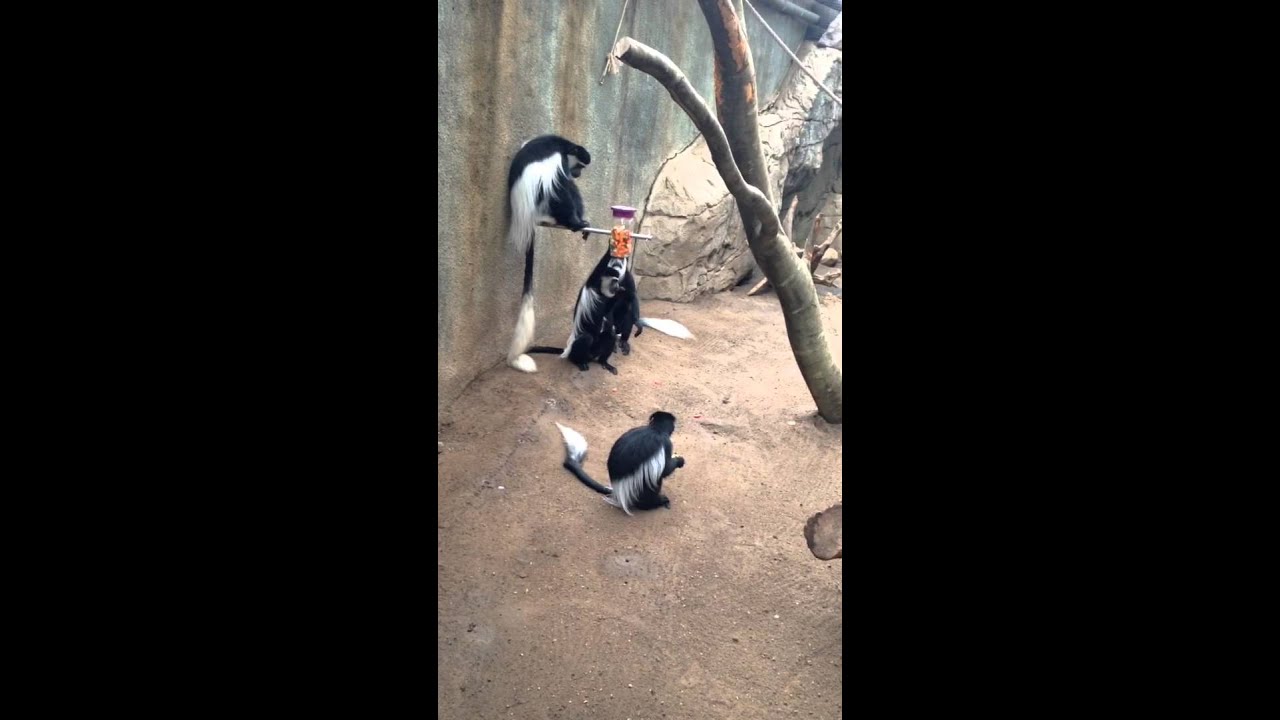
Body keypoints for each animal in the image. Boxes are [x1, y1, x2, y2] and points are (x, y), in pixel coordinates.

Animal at [506, 135, 592, 374]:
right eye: (580, 166)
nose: (578, 173)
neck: (563, 145)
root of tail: (528, 218)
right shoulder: (558, 161)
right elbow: (559, 187)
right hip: (543, 207)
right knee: (561, 187)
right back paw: (575, 222)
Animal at [554, 411, 686, 514]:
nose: (674, 428)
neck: (656, 429)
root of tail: (619, 491)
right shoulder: (666, 443)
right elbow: (665, 470)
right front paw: (680, 461)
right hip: (641, 488)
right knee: (655, 481)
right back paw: (656, 503)